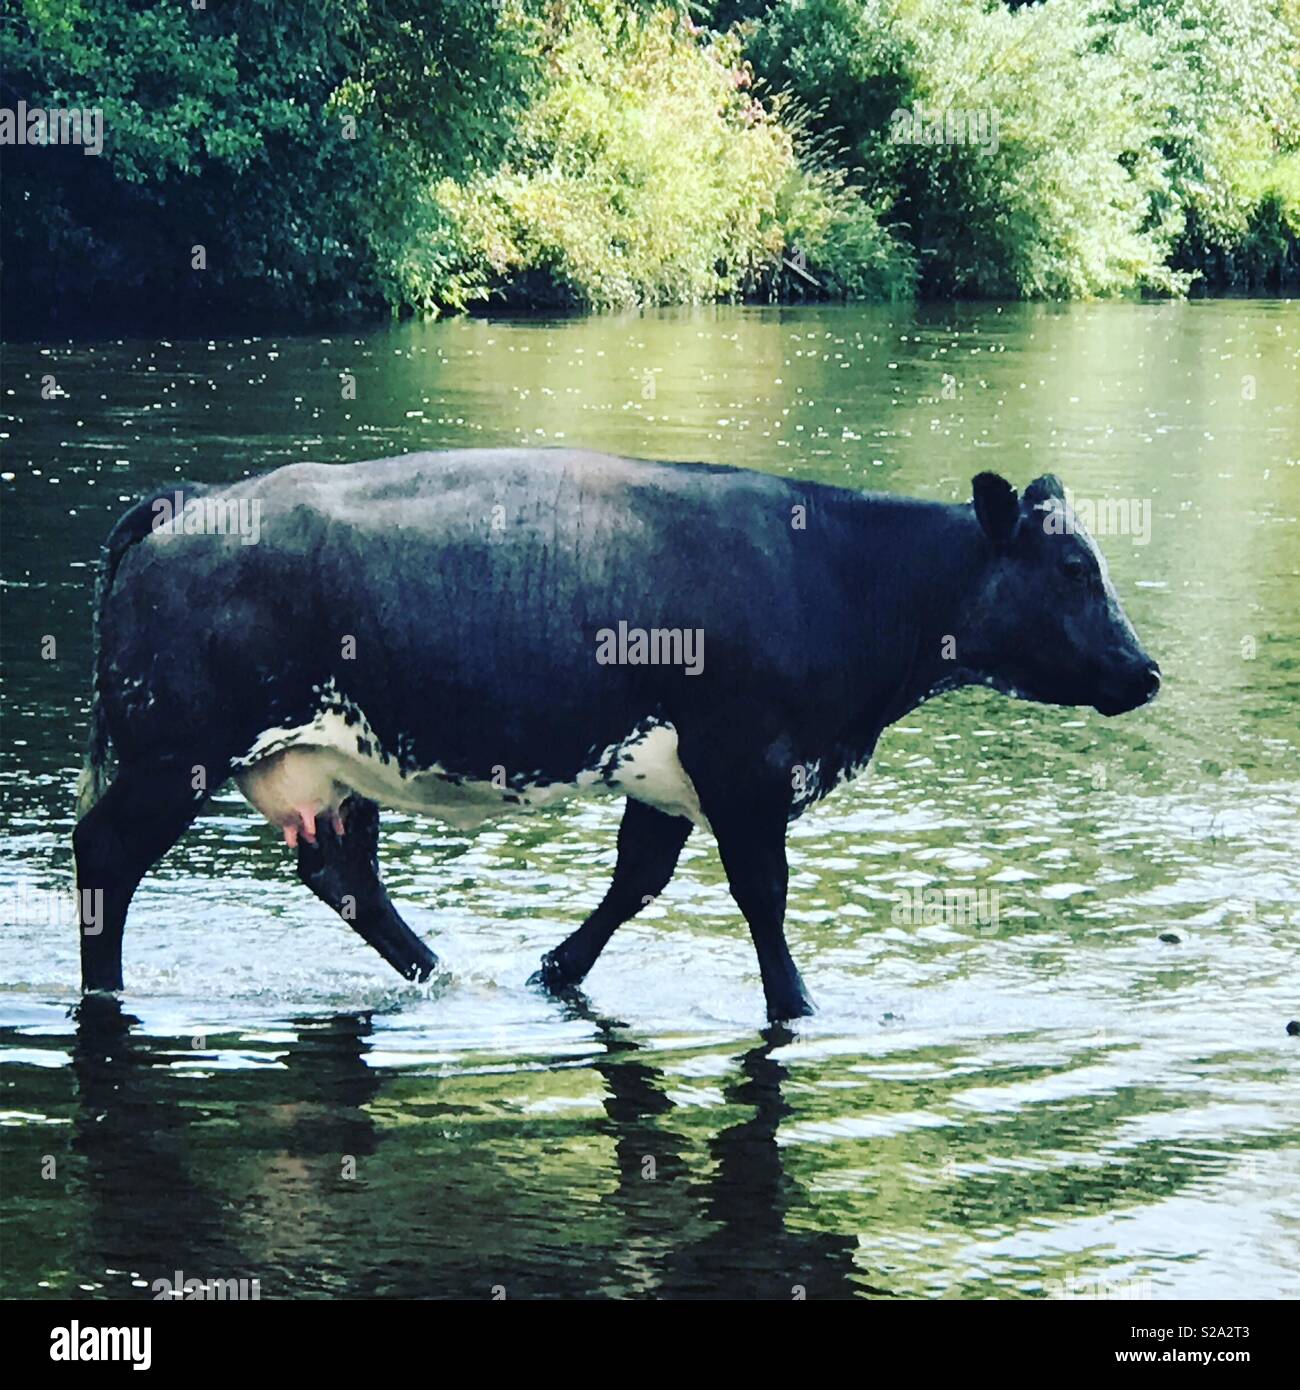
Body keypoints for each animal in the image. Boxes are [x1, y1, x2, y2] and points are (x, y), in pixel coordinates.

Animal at [73, 449, 1160, 1021]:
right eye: (1072, 569)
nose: (1144, 671)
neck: (838, 577)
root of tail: (190, 500)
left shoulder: (668, 770)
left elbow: (635, 881)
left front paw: (551, 972)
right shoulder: (744, 761)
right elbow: (763, 896)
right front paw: (798, 1006)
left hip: (329, 762)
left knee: (346, 878)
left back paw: (445, 977)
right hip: (174, 752)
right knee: (105, 856)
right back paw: (104, 994)